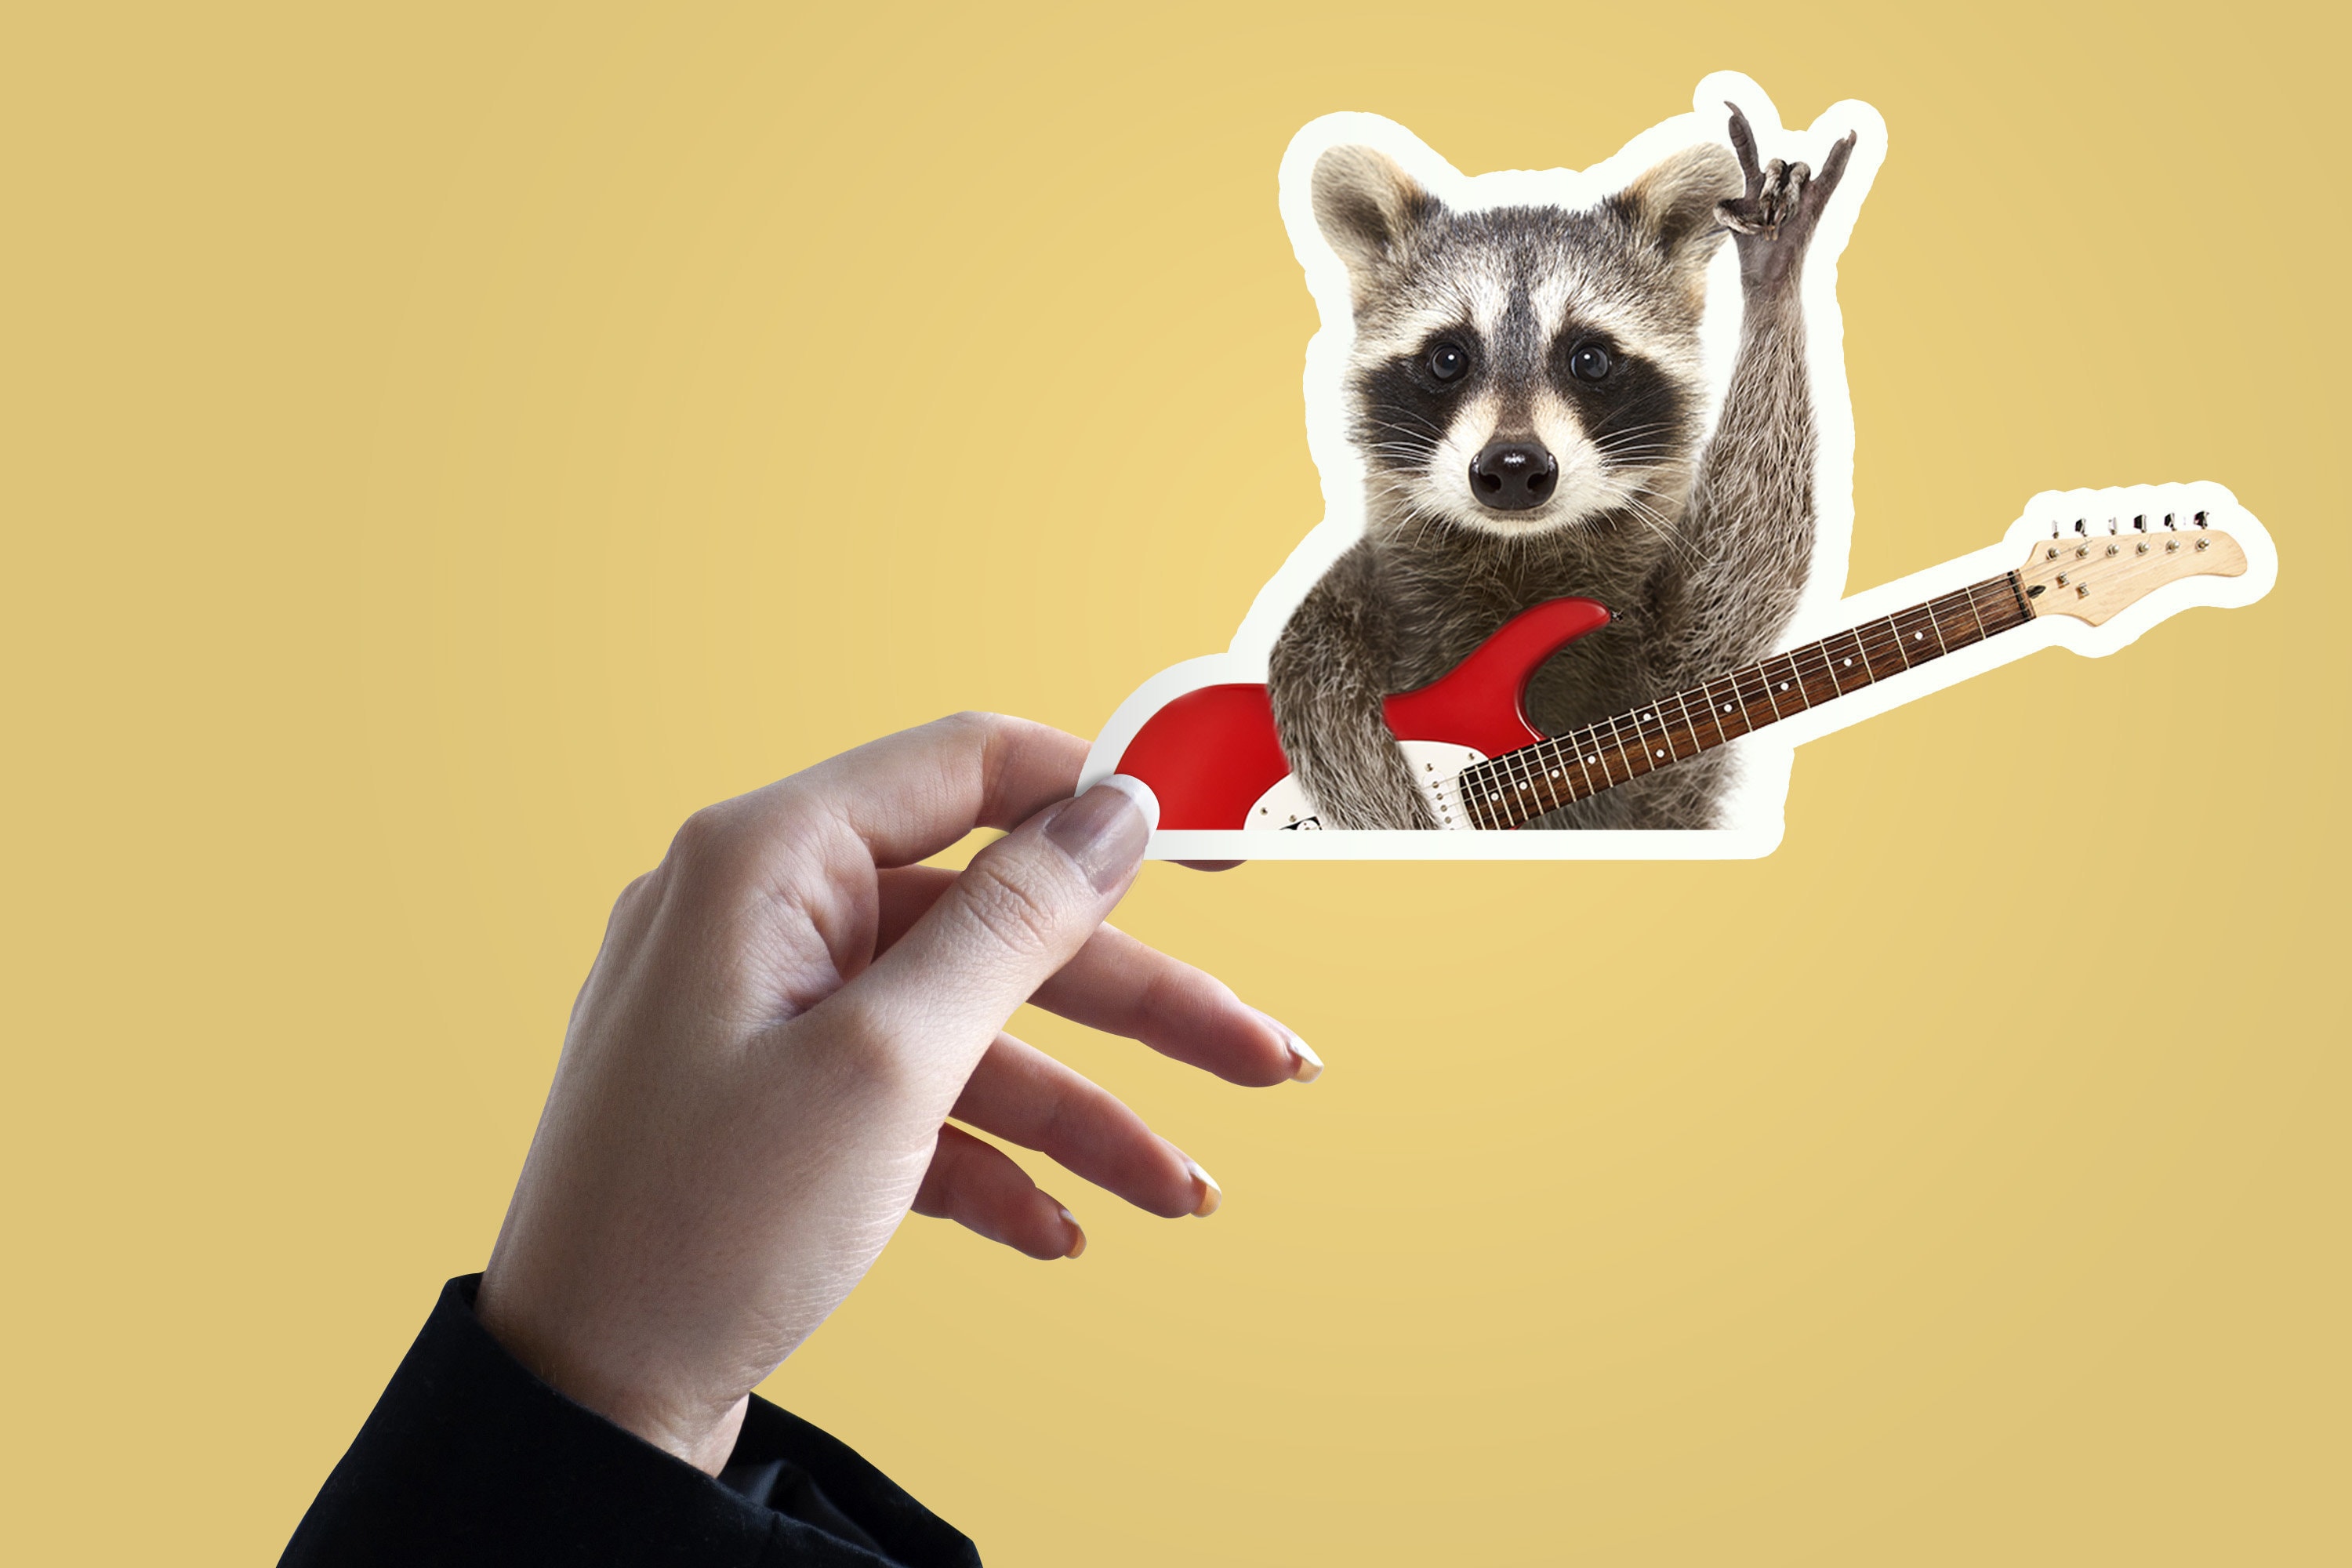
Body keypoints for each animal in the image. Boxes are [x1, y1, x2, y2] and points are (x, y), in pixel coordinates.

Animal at [1269, 107, 1856, 829]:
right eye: (1448, 359)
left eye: (1591, 359)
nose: (1513, 466)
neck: (1522, 552)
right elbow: (1315, 662)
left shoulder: (1668, 695)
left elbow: (1744, 575)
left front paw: (1773, 274)